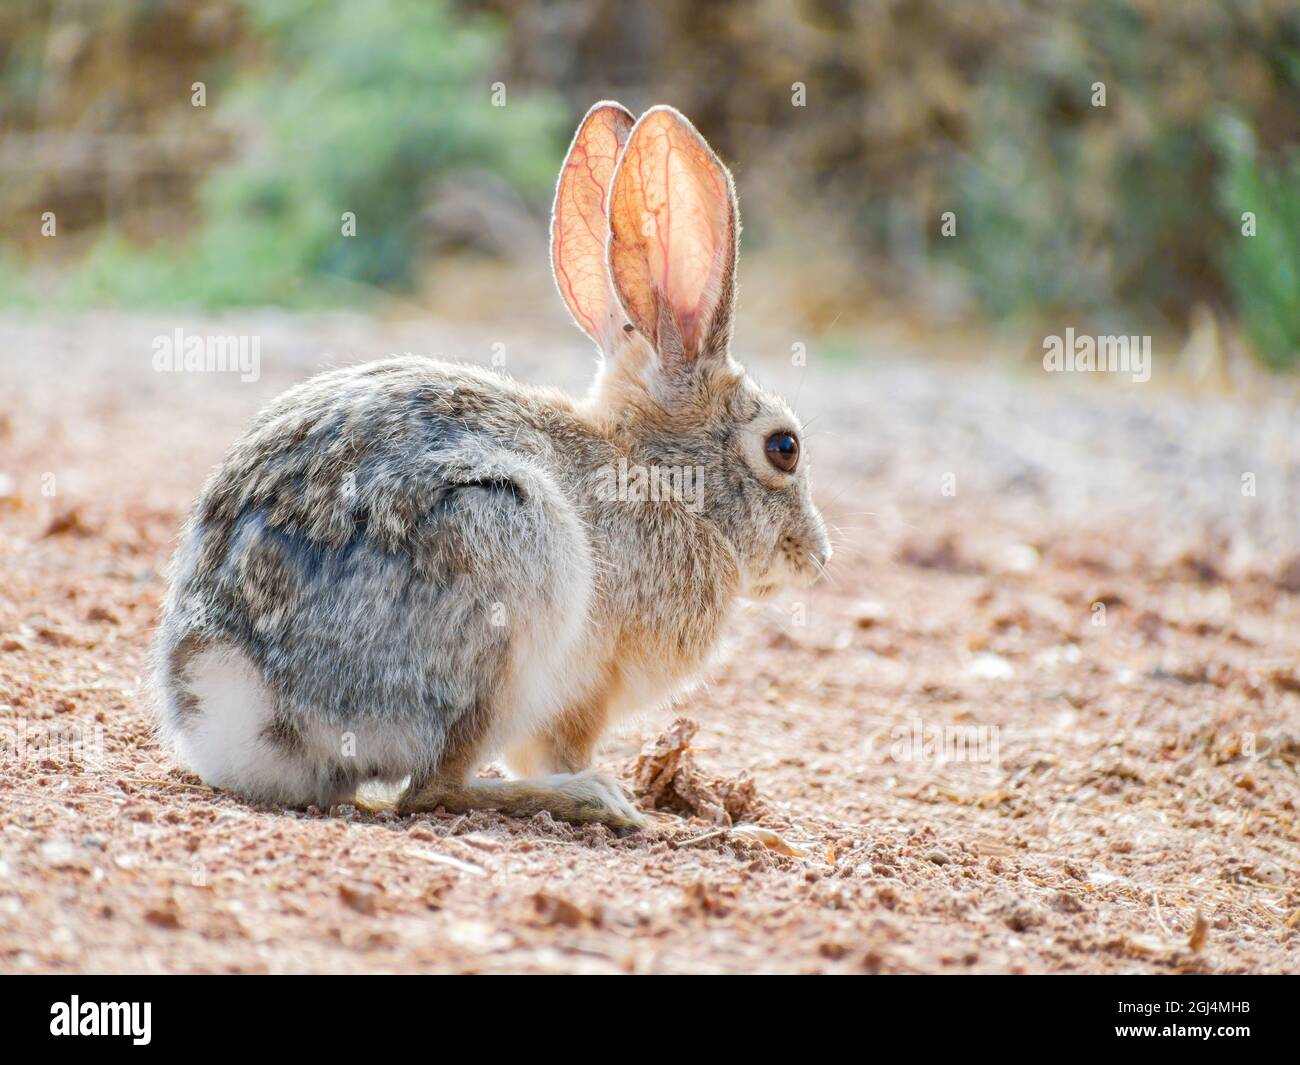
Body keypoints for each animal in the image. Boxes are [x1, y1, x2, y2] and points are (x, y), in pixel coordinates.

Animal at [152, 102, 832, 831]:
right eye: (783, 448)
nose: (817, 556)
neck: (660, 474)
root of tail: (241, 692)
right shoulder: (586, 690)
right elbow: (557, 746)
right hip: (505, 565)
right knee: (433, 788)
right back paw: (590, 799)